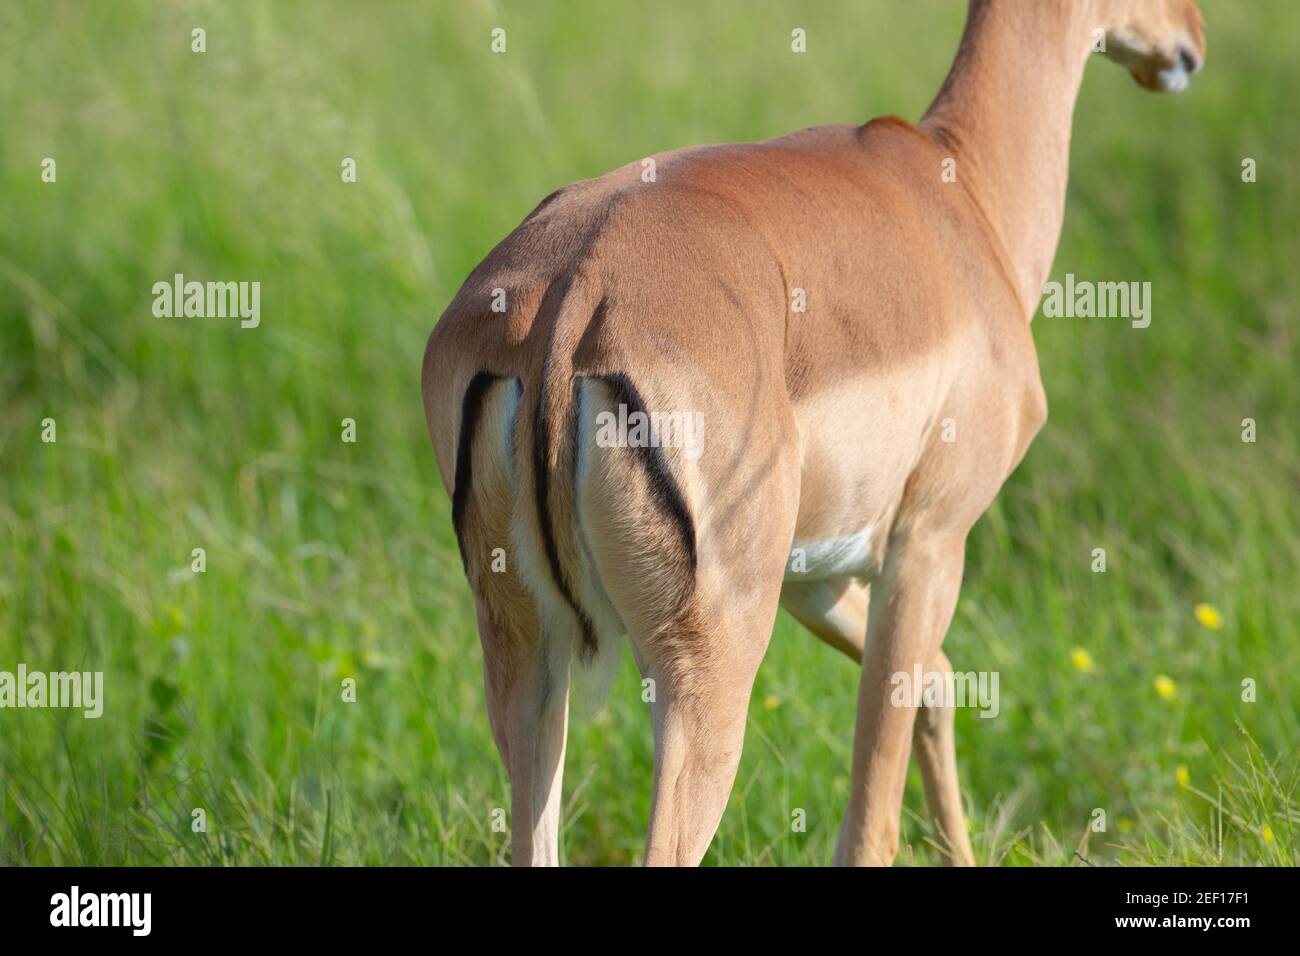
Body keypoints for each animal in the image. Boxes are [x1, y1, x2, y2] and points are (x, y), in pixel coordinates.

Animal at [421, 0, 1205, 866]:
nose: (1190, 44)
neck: (962, 191)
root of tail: (571, 298)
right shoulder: (929, 546)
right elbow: (873, 817)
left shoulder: (817, 576)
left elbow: (936, 685)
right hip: (709, 658)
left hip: (524, 647)